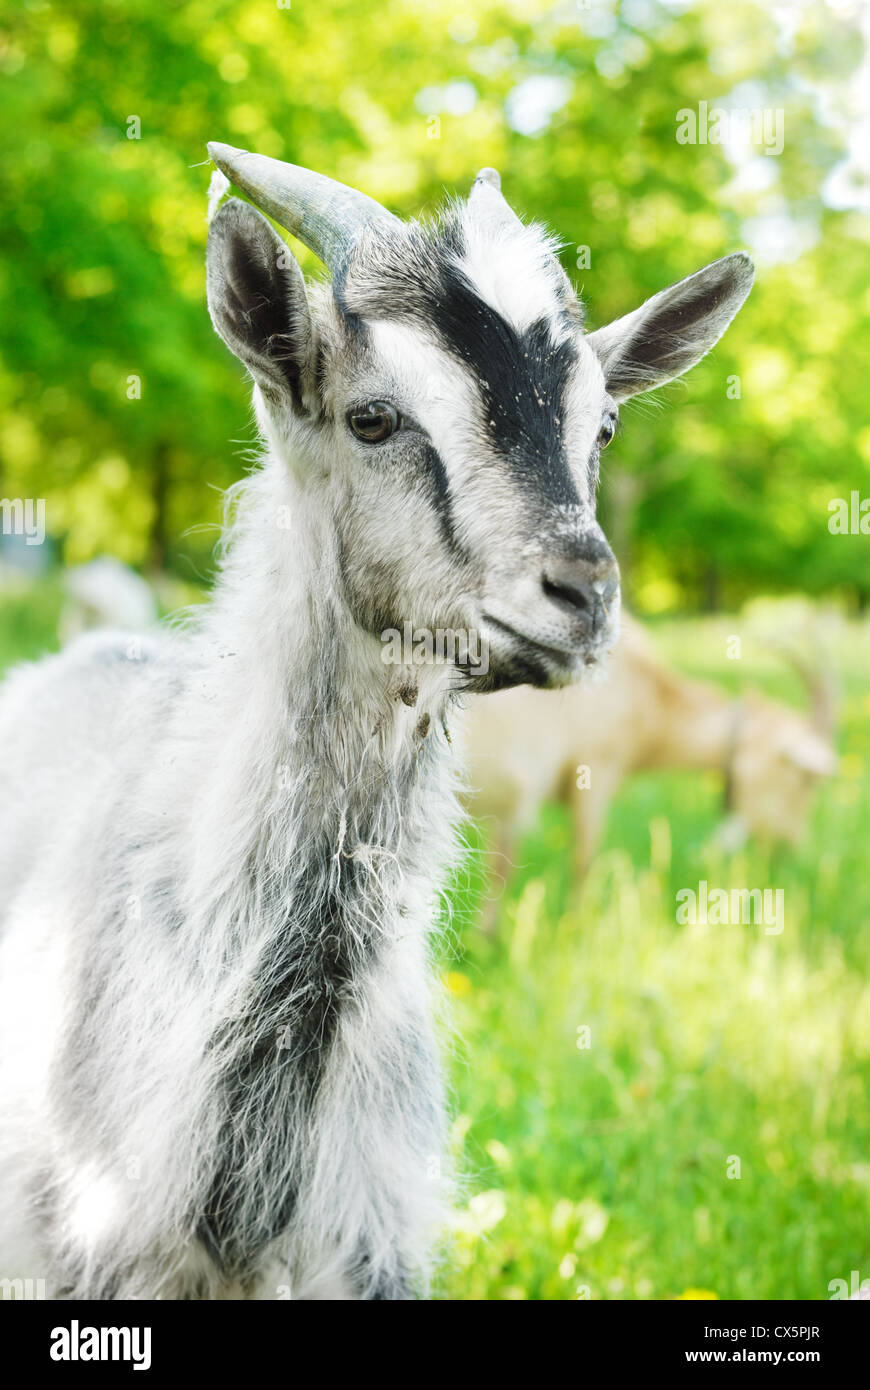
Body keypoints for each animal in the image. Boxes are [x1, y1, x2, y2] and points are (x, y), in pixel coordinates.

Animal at [466, 613, 836, 884]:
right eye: (807, 781)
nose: (794, 850)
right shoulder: (595, 773)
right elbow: (583, 863)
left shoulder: (511, 804)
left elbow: (500, 869)